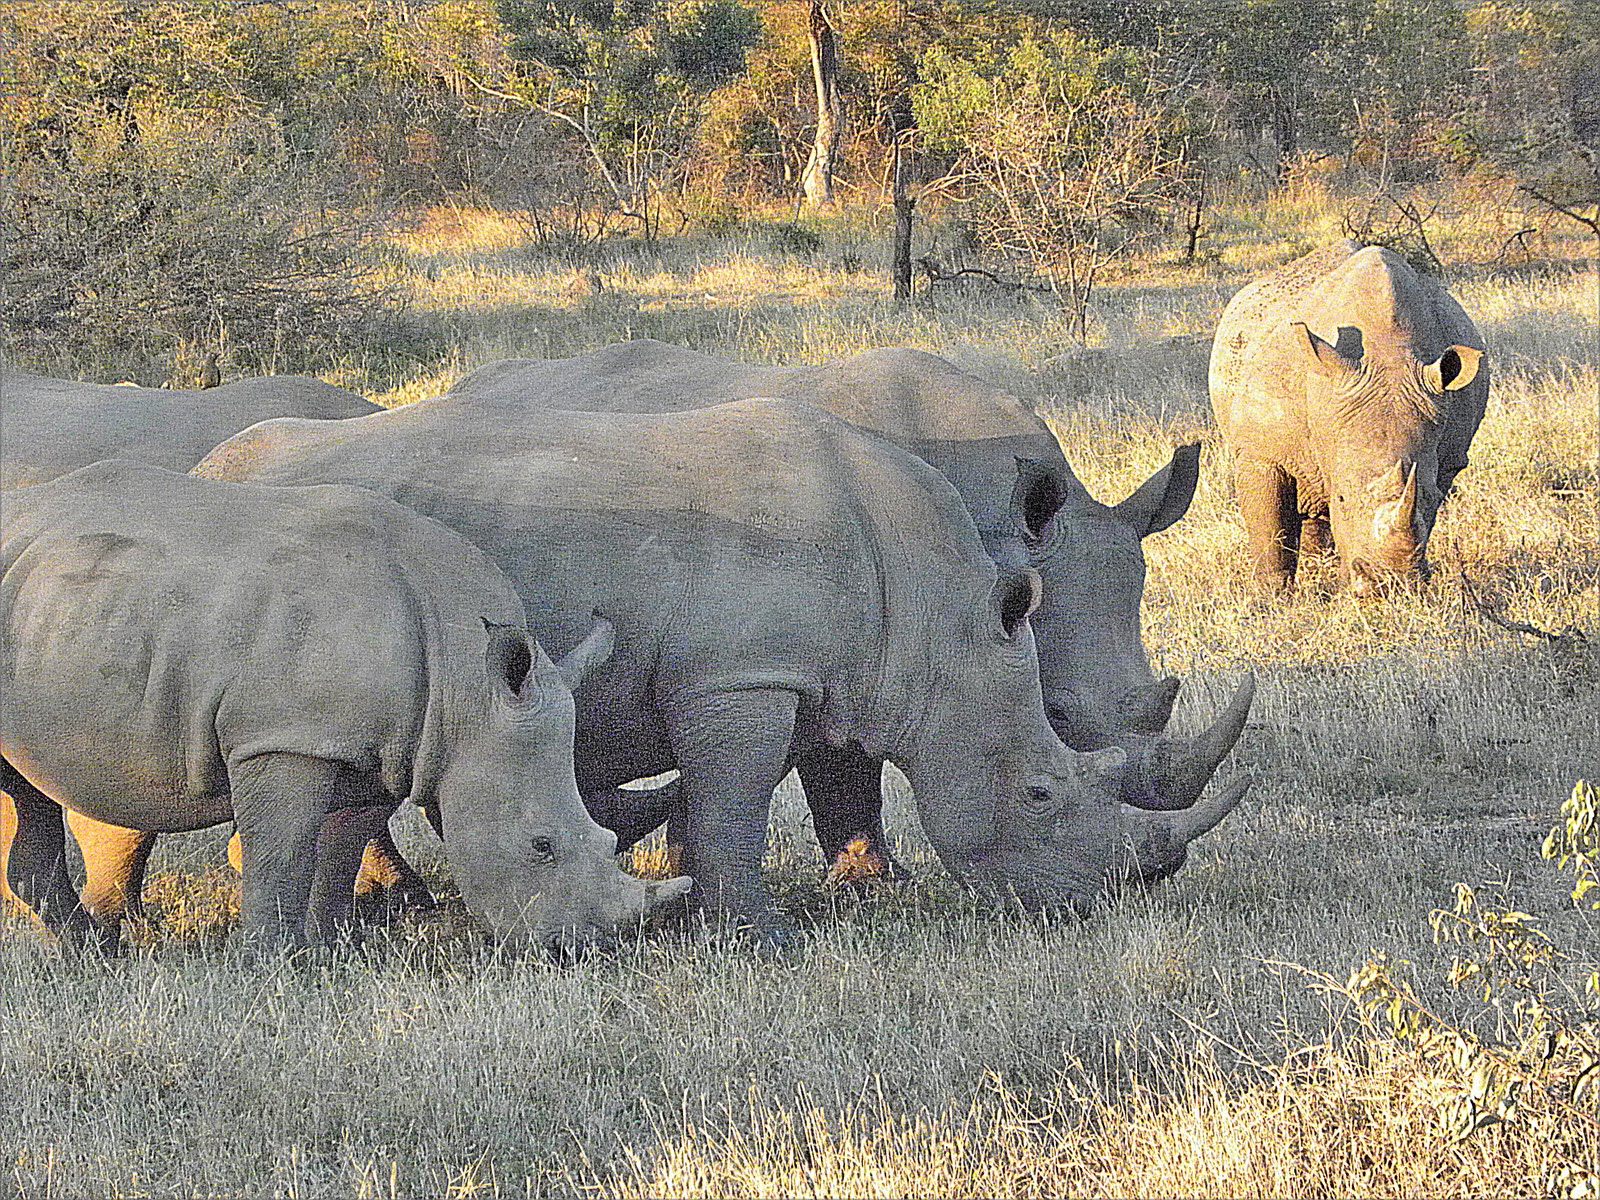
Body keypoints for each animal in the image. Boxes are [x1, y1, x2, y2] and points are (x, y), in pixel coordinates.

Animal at [0, 460, 688, 951]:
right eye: (542, 846)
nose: (587, 947)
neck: (467, 681)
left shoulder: (374, 747)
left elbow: (338, 850)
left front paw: (332, 950)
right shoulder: (286, 736)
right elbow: (281, 855)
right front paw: (270, 965)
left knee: (26, 792)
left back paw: (92, 951)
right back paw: (93, 949)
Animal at [193, 395, 1245, 939]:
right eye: (1040, 792)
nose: (1127, 892)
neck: (929, 614)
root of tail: (213, 466)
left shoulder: (800, 676)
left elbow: (750, 795)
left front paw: (707, 906)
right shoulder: (740, 675)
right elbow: (735, 801)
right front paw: (758, 938)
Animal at [1209, 244, 1488, 594]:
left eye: (1433, 498)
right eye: (1341, 498)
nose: (1388, 586)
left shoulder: (1450, 457)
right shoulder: (1260, 453)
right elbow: (1269, 529)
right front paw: (1270, 598)